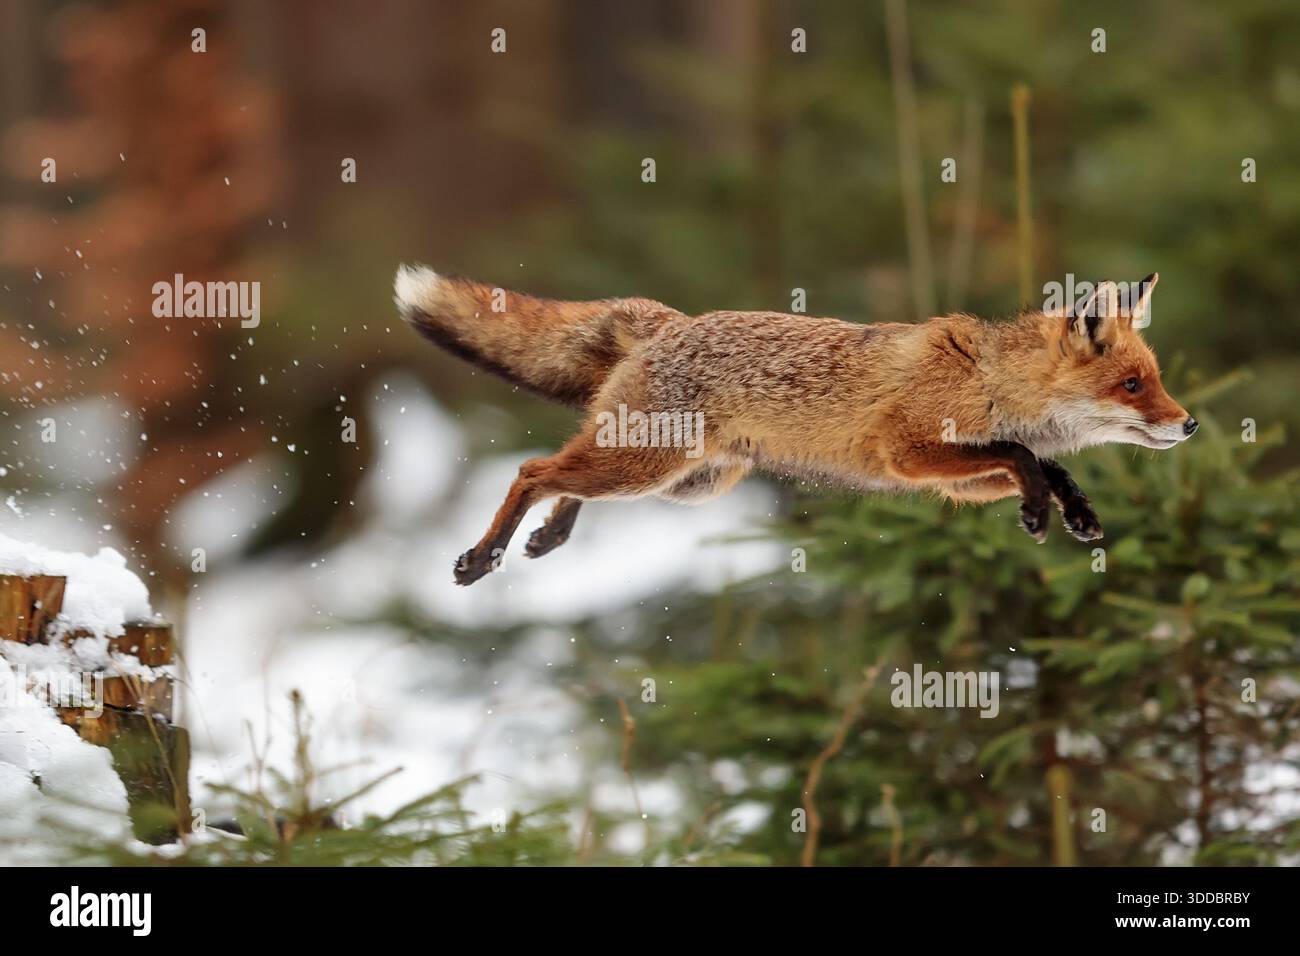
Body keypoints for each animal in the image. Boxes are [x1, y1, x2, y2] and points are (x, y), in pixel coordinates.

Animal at [392, 266, 1196, 586]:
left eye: (1154, 379)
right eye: (1133, 386)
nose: (1189, 425)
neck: (989, 379)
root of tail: (671, 319)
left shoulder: (955, 480)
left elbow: (1044, 461)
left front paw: (1075, 510)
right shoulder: (909, 452)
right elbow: (1023, 454)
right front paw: (1039, 509)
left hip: (686, 483)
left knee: (563, 477)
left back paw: (550, 533)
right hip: (651, 466)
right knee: (531, 470)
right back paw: (483, 555)